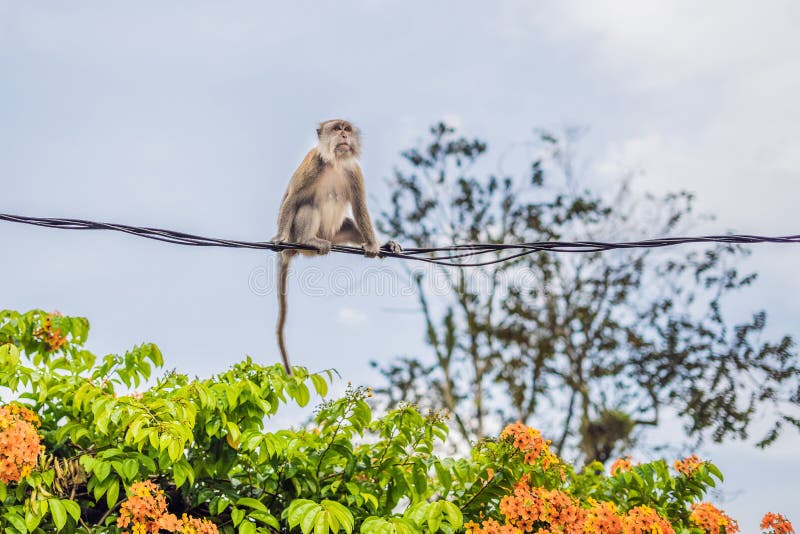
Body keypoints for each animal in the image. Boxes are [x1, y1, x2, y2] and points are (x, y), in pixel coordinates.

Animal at [273, 119, 401, 375]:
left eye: (347, 129)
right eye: (336, 128)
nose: (343, 135)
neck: (335, 162)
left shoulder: (354, 171)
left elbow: (360, 209)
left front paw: (375, 245)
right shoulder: (314, 162)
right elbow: (292, 198)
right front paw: (279, 237)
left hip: (335, 234)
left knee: (350, 223)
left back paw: (383, 246)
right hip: (300, 235)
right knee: (306, 206)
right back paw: (309, 240)